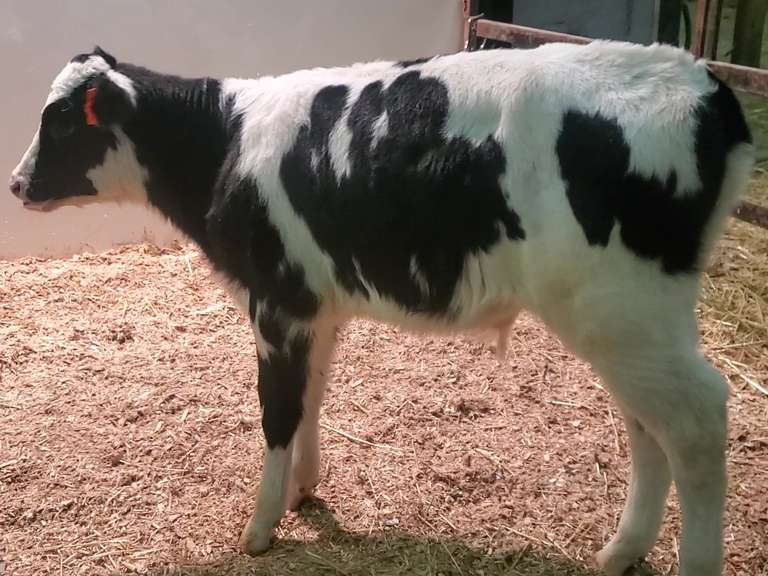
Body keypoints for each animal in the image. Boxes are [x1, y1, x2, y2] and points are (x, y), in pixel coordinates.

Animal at [9, 43, 753, 576]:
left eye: (62, 120)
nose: (17, 184)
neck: (224, 143)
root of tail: (700, 79)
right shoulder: (317, 308)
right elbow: (312, 396)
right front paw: (304, 491)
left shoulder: (276, 302)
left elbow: (277, 411)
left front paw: (261, 526)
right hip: (629, 324)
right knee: (647, 426)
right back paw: (621, 552)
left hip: (624, 311)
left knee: (695, 422)